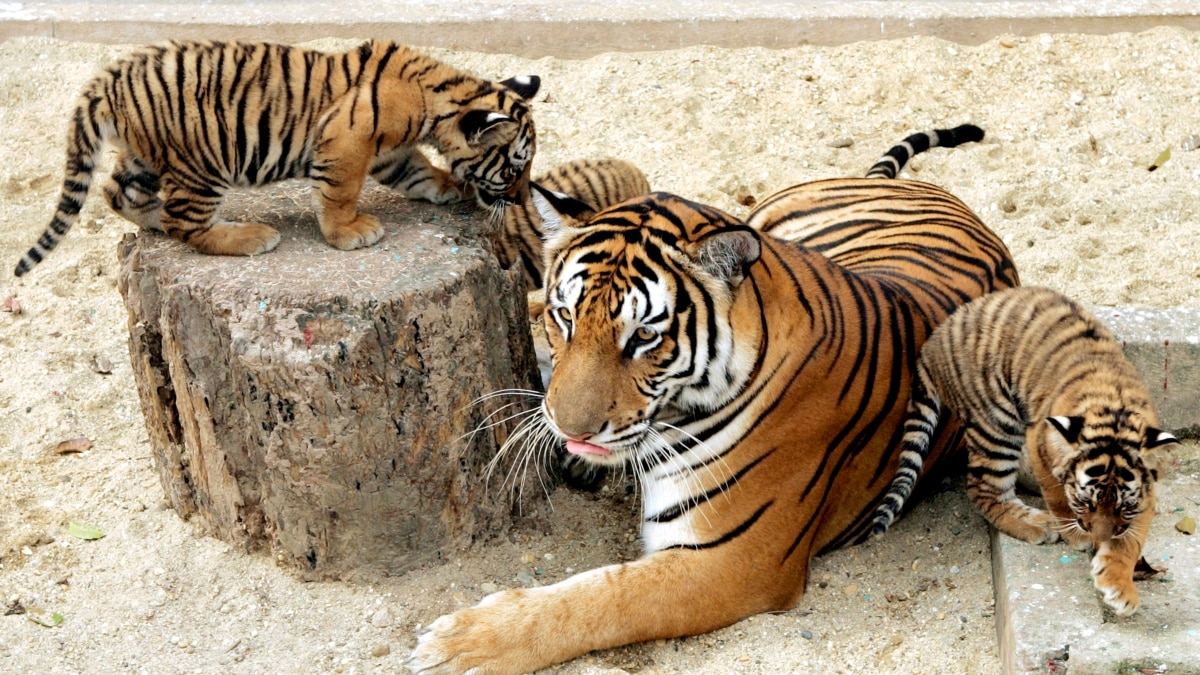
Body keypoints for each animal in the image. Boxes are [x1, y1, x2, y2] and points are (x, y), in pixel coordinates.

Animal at [13, 39, 539, 277]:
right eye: (513, 167)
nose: (520, 200)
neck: (438, 97)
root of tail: (109, 79)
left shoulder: (390, 154)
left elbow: (420, 173)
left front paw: (450, 187)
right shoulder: (348, 139)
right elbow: (341, 193)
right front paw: (349, 234)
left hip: (143, 156)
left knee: (118, 193)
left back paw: (157, 221)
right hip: (203, 161)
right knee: (185, 220)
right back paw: (249, 236)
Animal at [407, 135, 1017, 673]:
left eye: (643, 337)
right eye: (568, 317)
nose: (570, 429)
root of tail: (914, 186)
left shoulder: (735, 562)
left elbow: (603, 598)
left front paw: (462, 643)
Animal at [870, 286, 1177, 616]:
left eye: (1122, 506)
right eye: (1086, 502)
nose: (1098, 539)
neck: (1113, 405)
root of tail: (934, 339)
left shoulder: (1143, 489)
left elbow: (1131, 539)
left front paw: (1120, 586)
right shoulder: (1038, 442)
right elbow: (1058, 497)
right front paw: (1075, 534)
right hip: (997, 421)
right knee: (982, 488)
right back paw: (1036, 524)